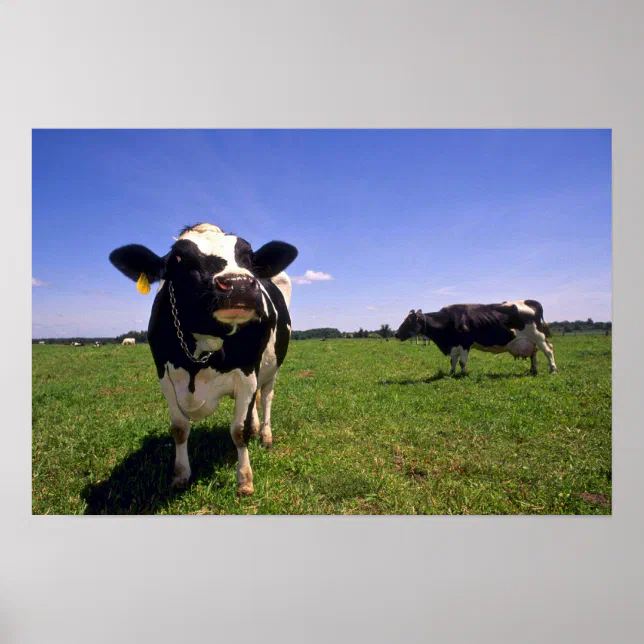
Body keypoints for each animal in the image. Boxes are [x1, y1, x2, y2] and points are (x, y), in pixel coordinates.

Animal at [109, 222, 298, 496]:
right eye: (179, 258)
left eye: (249, 258)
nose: (239, 283)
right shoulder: (165, 375)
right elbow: (179, 429)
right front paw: (180, 475)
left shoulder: (247, 373)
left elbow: (238, 431)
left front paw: (245, 480)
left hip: (272, 367)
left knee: (266, 398)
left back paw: (265, 436)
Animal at [394, 299, 557, 376]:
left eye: (408, 322)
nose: (396, 334)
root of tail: (530, 301)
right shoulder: (454, 345)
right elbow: (453, 360)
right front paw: (451, 373)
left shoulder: (465, 343)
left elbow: (462, 361)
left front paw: (463, 373)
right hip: (531, 341)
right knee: (534, 354)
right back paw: (533, 370)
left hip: (539, 337)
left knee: (549, 350)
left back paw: (553, 369)